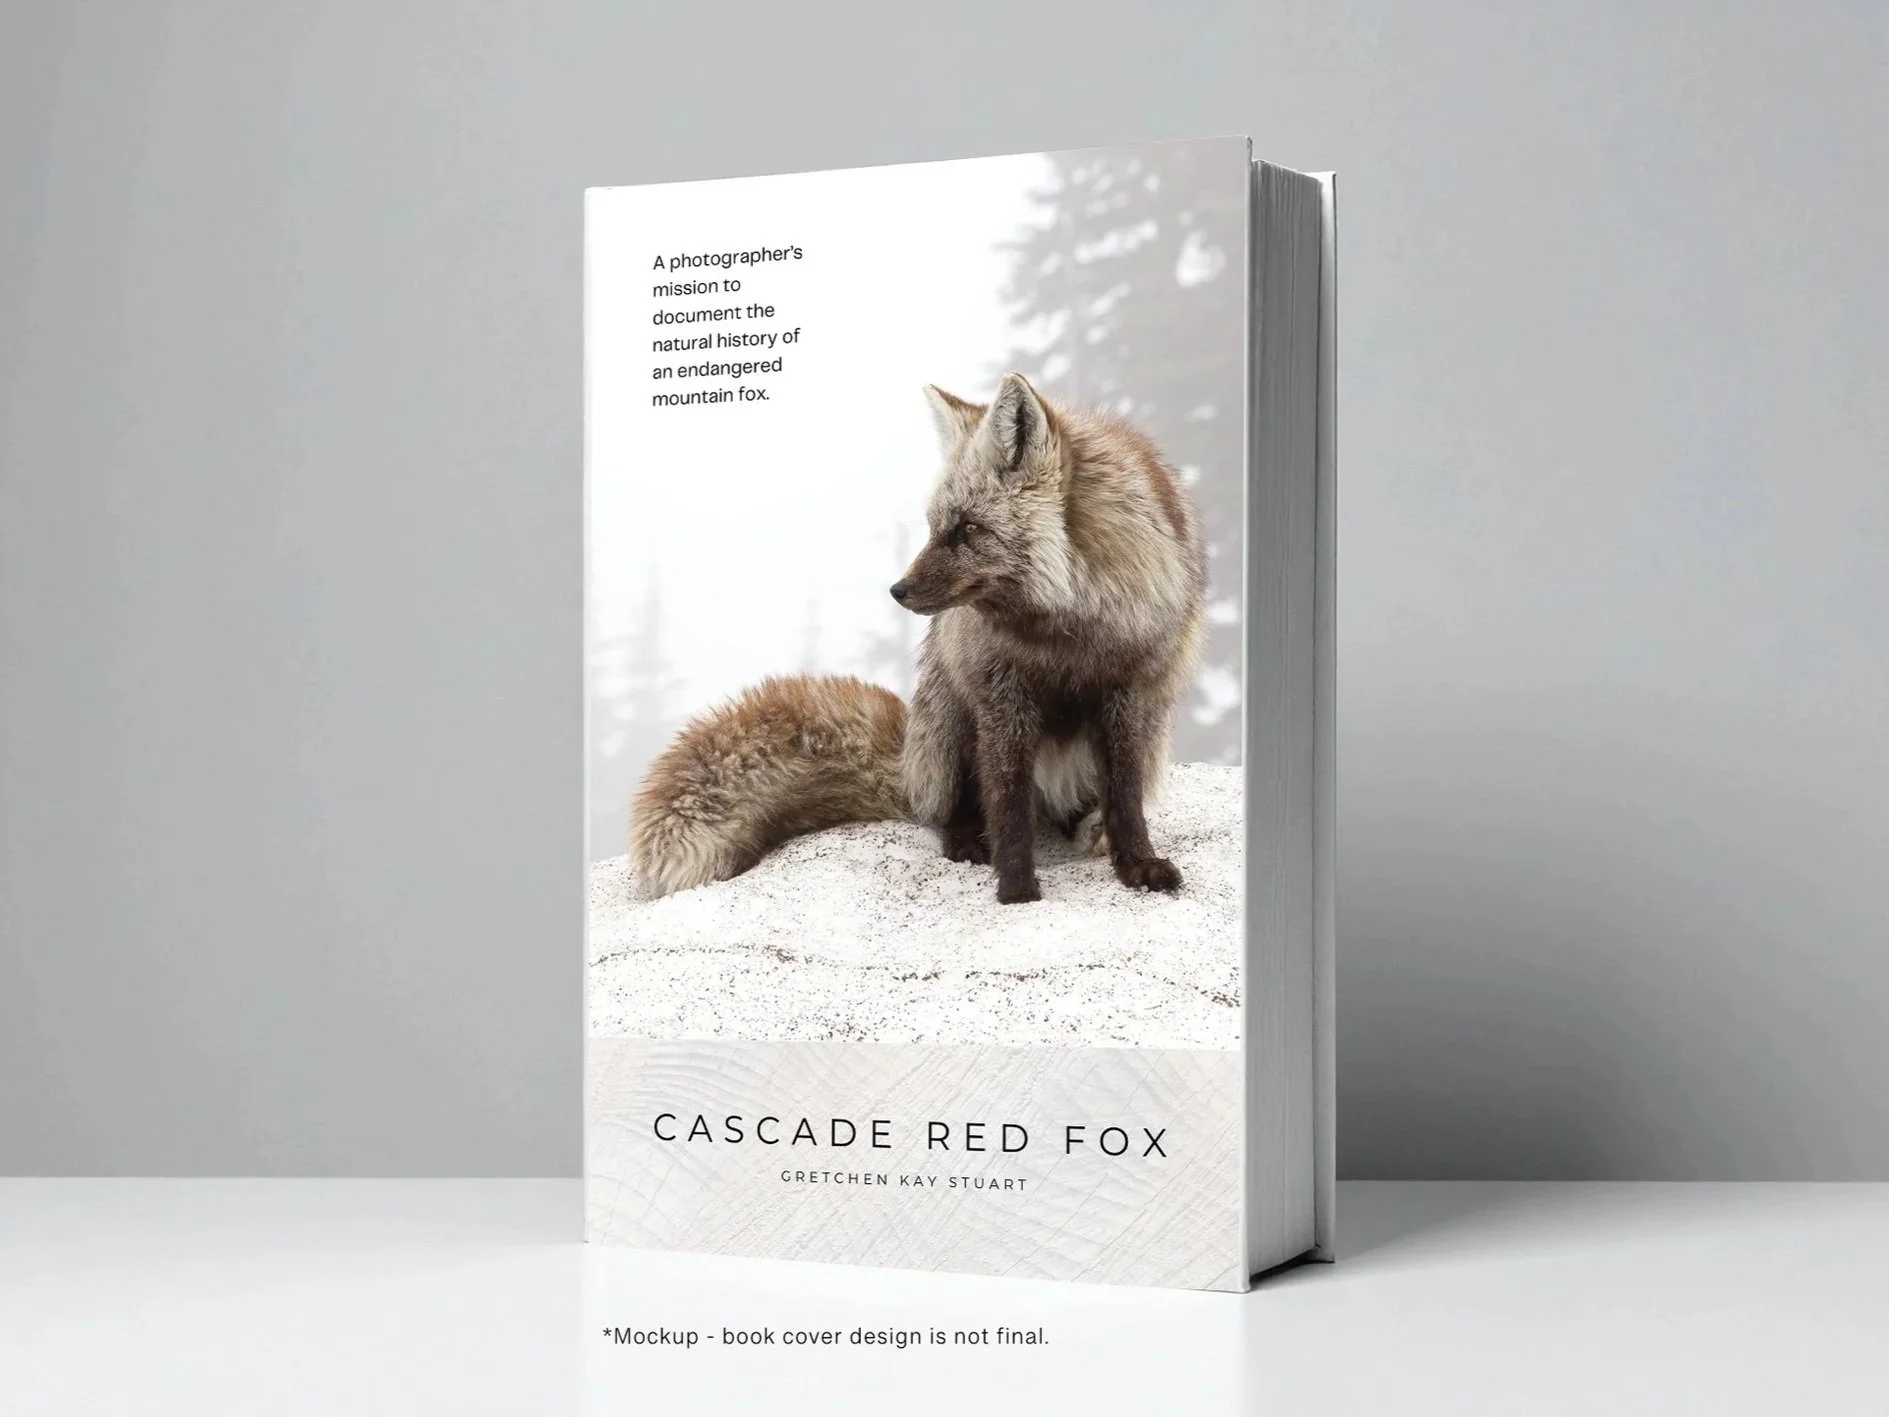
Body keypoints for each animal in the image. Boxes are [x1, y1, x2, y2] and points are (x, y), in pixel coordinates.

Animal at [628, 371, 1207, 905]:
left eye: (967, 529)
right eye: (934, 527)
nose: (897, 591)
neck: (1065, 636)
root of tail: (908, 766)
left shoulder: (1129, 696)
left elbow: (1125, 800)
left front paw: (1136, 864)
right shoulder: (1000, 699)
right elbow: (1009, 808)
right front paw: (1016, 889)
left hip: (1146, 738)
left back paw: (1087, 829)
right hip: (952, 726)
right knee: (958, 810)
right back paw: (968, 841)